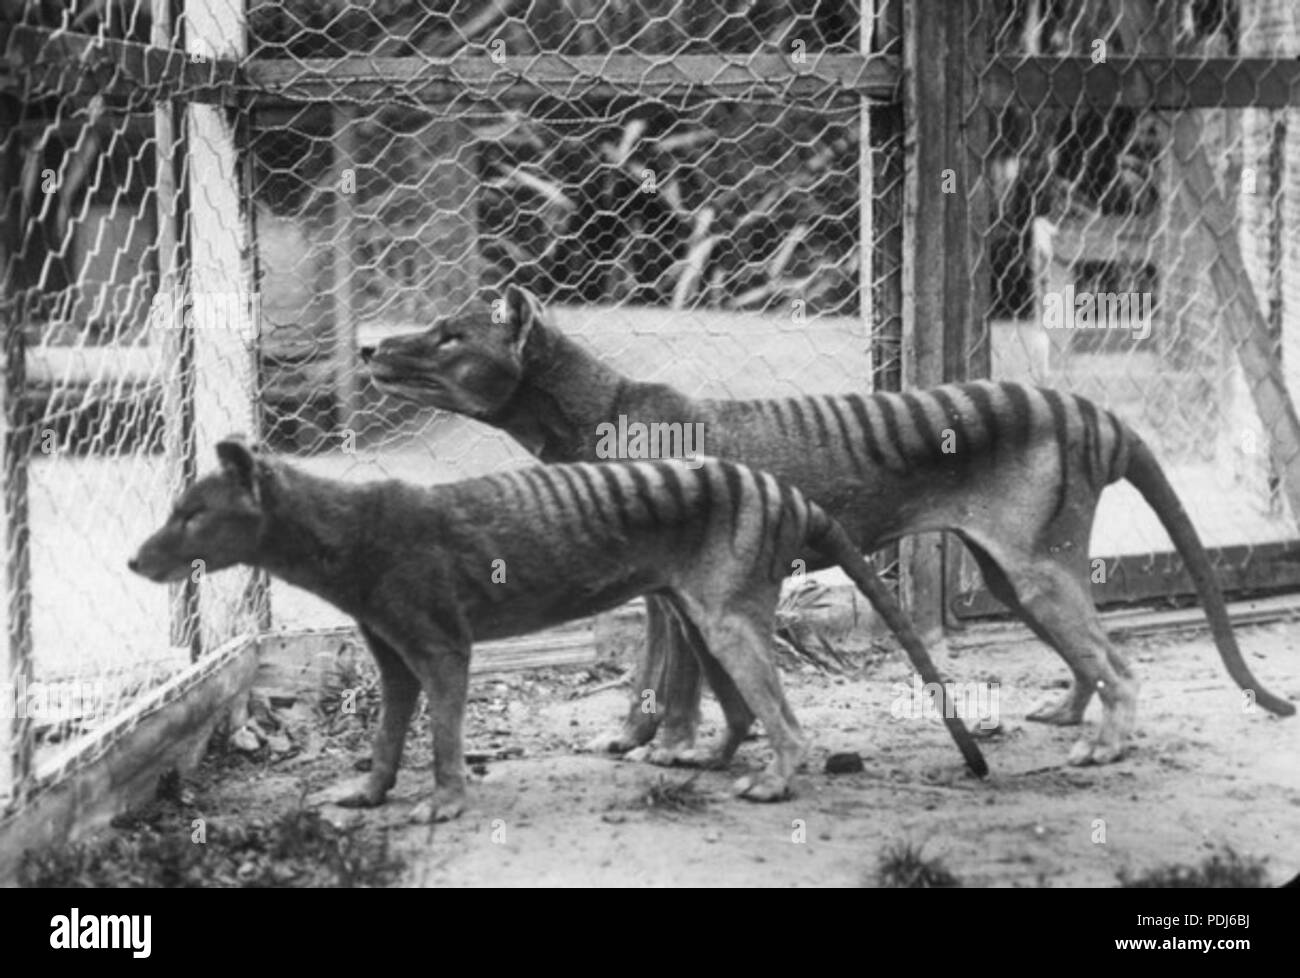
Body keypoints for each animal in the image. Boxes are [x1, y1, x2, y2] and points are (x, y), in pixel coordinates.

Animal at [129, 440, 986, 822]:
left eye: (192, 513)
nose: (134, 558)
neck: (347, 530)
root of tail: (787, 492)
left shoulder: (442, 645)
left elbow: (443, 735)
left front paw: (444, 800)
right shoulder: (392, 655)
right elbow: (386, 734)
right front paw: (369, 792)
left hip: (727, 617)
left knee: (786, 718)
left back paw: (776, 780)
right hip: (699, 614)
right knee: (743, 709)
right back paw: (706, 757)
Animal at [361, 285, 1295, 768]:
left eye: (449, 336)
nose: (370, 347)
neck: (602, 409)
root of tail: (1095, 412)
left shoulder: (676, 583)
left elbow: (675, 678)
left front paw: (670, 746)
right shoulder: (659, 587)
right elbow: (649, 673)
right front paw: (631, 735)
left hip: (1034, 568)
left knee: (1118, 662)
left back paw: (1106, 745)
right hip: (1010, 572)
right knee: (1090, 653)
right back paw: (1073, 716)